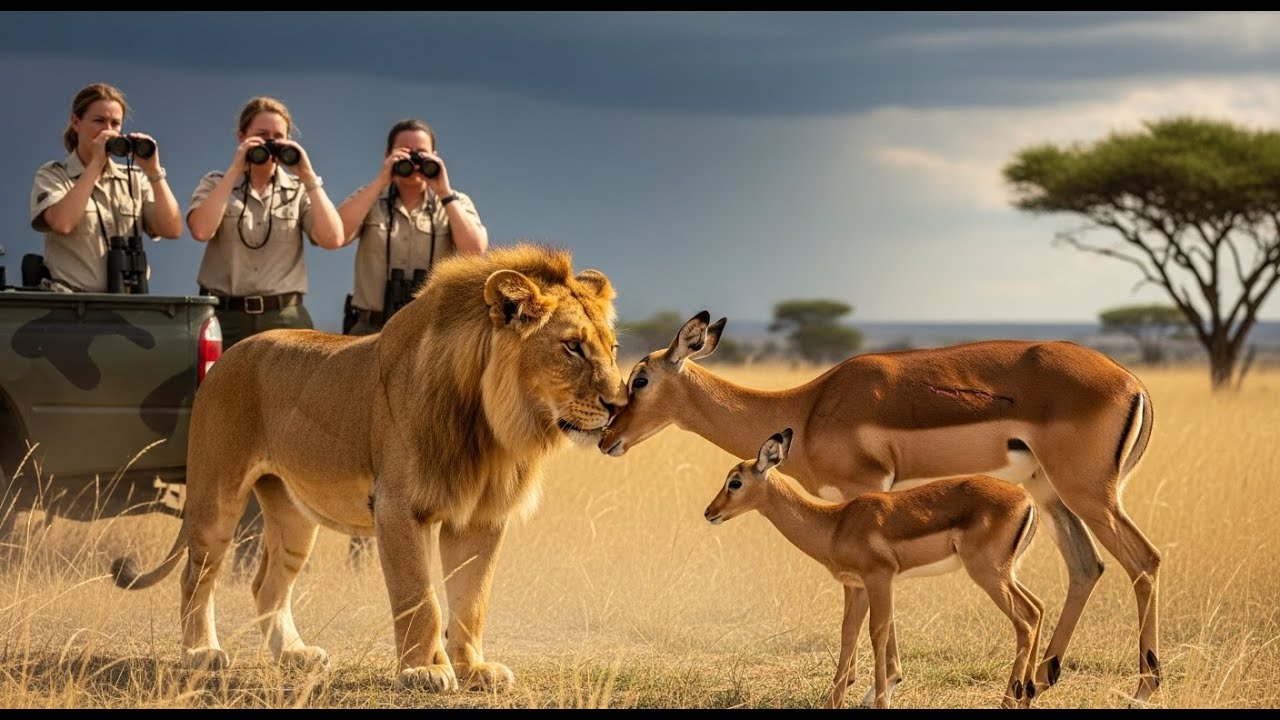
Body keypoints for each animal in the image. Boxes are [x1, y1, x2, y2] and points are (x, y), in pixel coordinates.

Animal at [109, 243, 628, 692]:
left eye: (612, 348)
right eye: (572, 347)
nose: (620, 404)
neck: (490, 425)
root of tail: (228, 354)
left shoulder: (481, 517)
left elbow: (471, 601)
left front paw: (473, 668)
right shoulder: (397, 507)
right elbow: (420, 598)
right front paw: (424, 671)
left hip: (292, 514)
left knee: (266, 585)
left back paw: (294, 655)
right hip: (216, 495)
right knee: (196, 576)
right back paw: (201, 654)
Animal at [706, 428, 1043, 709]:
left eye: (735, 482)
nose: (710, 512)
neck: (835, 525)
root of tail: (1027, 500)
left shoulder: (879, 578)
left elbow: (876, 633)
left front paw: (880, 702)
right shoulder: (857, 586)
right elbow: (848, 634)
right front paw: (834, 702)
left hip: (988, 574)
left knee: (1025, 619)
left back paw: (1008, 702)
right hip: (1006, 573)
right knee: (1038, 608)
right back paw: (1027, 696)